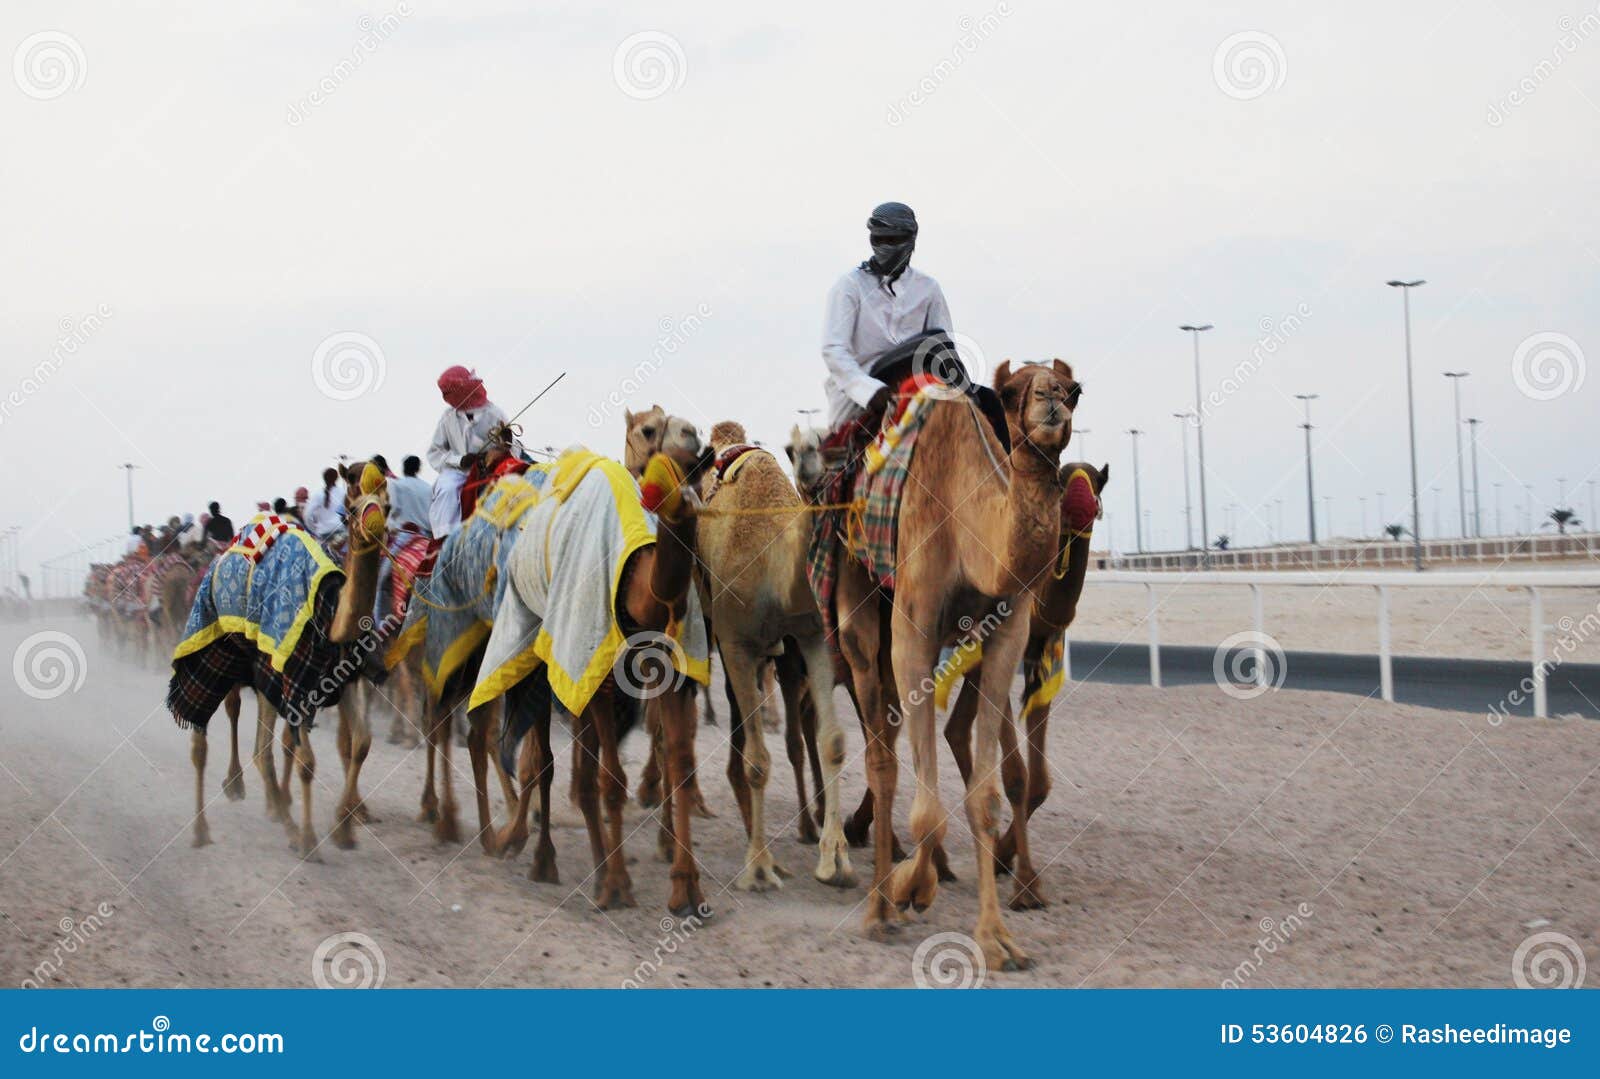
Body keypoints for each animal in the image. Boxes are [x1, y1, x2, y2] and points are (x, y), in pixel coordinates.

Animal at [171, 463, 389, 856]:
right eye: (351, 507)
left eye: (387, 505)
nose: (376, 525)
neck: (329, 614)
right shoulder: (294, 682)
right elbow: (306, 761)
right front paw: (309, 837)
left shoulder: (343, 677)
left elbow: (361, 744)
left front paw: (342, 830)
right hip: (213, 650)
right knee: (205, 738)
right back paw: (206, 826)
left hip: (258, 672)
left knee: (263, 748)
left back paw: (276, 810)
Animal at [695, 421, 852, 890]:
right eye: (792, 447)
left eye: (832, 439)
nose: (815, 466)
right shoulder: (736, 644)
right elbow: (759, 763)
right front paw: (759, 867)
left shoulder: (813, 636)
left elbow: (832, 742)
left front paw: (835, 859)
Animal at [832, 361, 1078, 971]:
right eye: (1012, 393)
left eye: (1076, 390)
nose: (1052, 400)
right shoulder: (914, 631)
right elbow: (926, 808)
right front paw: (908, 890)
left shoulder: (1006, 635)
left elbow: (984, 797)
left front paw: (997, 939)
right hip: (861, 618)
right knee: (881, 762)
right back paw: (879, 907)